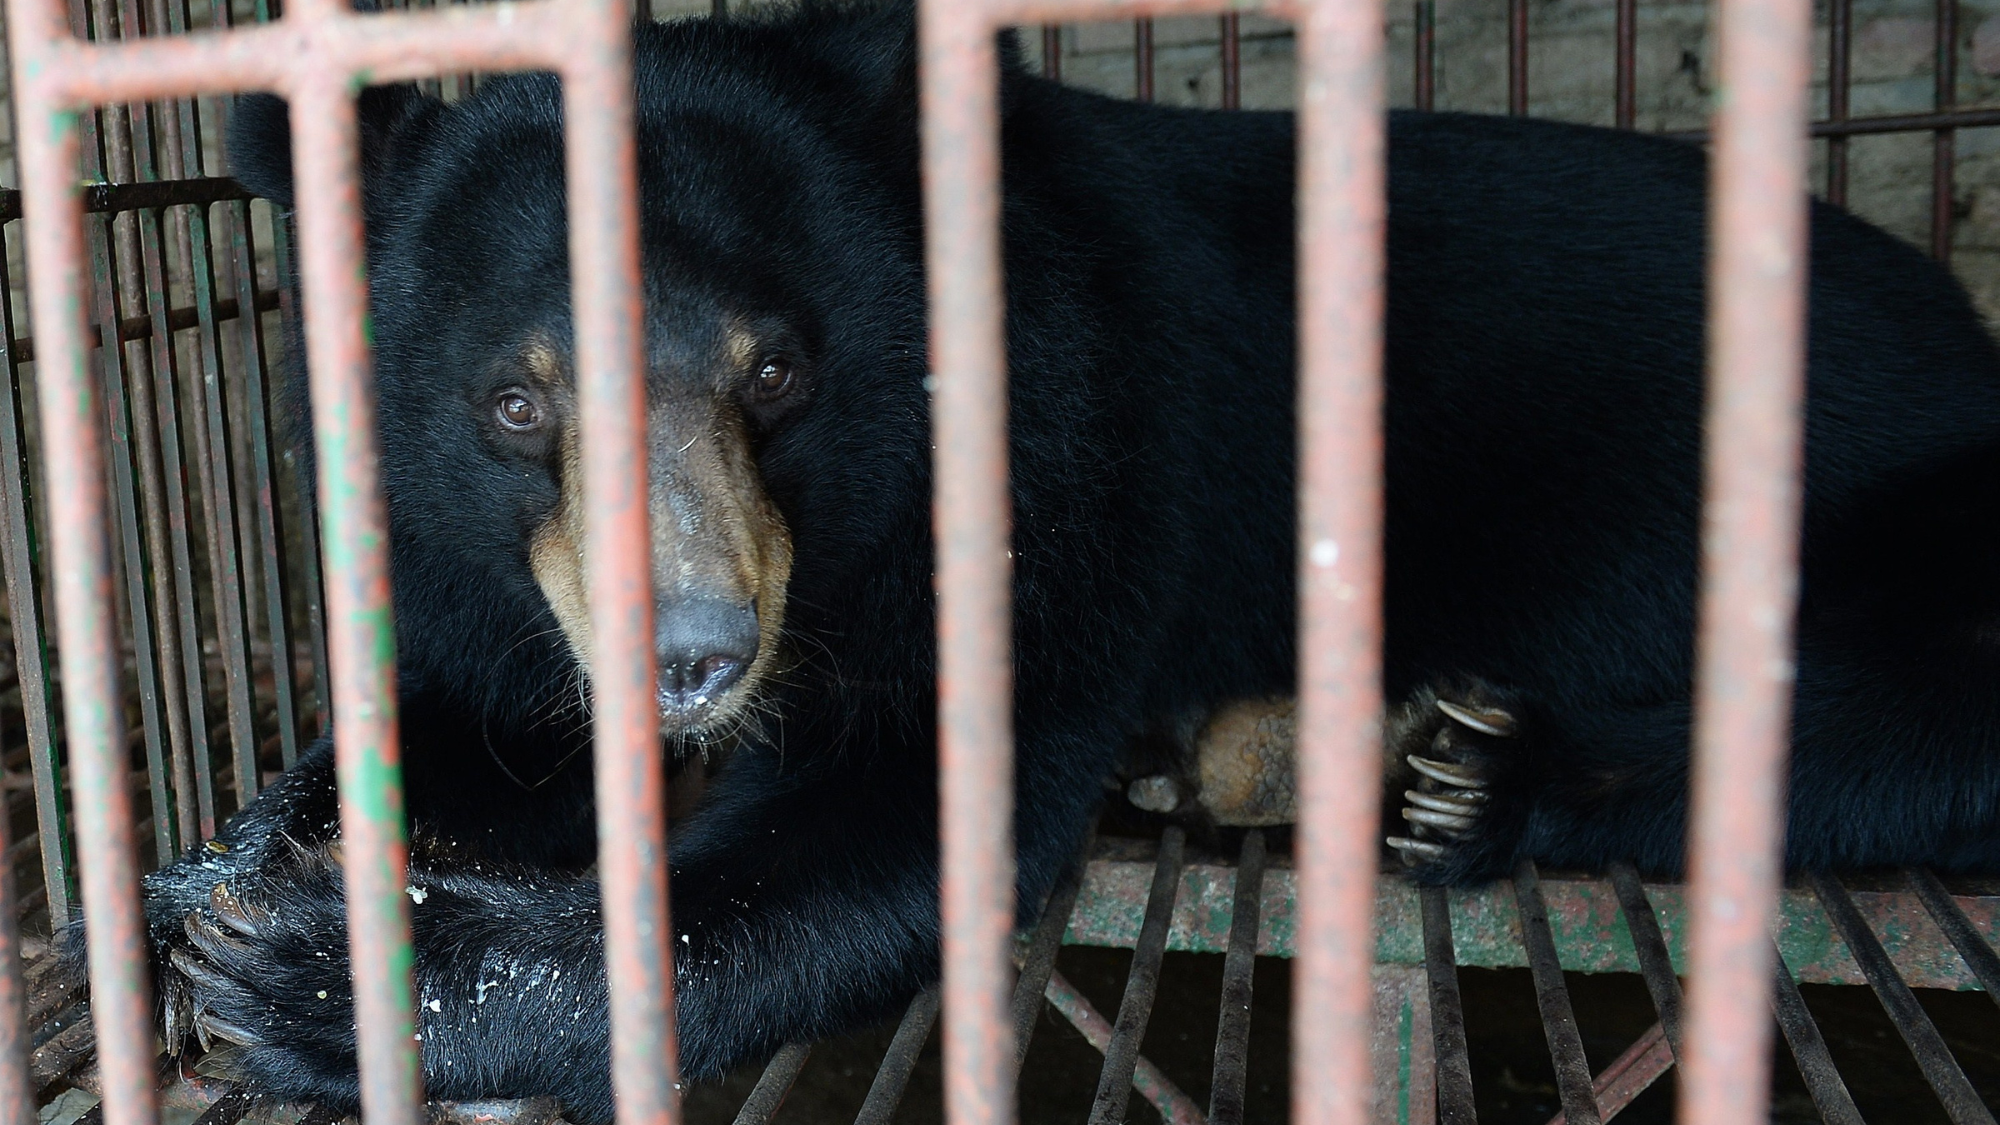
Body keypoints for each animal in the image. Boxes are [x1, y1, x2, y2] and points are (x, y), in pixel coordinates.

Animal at [109, 1, 2000, 1118]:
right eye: (515, 401)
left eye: (775, 373)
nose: (693, 655)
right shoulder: (469, 554)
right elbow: (469, 707)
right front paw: (222, 877)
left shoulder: (1061, 440)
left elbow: (898, 816)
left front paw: (328, 973)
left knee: (1903, 715)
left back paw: (1467, 773)